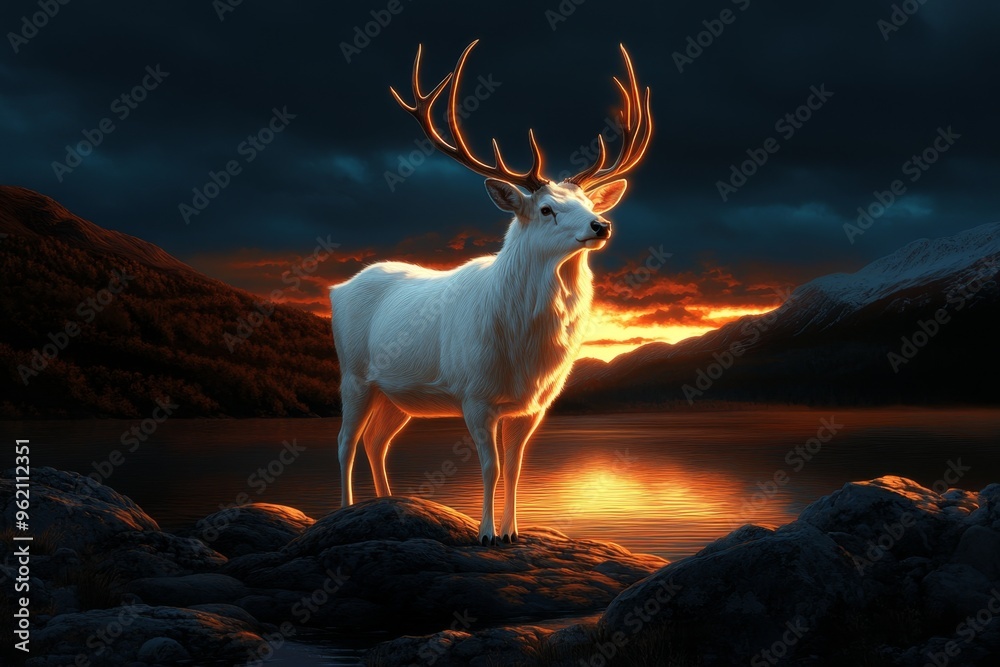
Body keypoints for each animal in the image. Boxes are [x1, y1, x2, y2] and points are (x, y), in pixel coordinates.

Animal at [329, 40, 652, 545]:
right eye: (546, 209)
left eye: (586, 203)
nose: (601, 225)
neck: (525, 350)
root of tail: (337, 288)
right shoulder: (475, 394)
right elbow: (491, 466)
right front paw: (484, 533)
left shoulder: (533, 405)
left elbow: (517, 467)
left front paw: (513, 531)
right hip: (354, 373)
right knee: (346, 441)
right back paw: (344, 510)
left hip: (397, 393)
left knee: (377, 440)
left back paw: (387, 503)